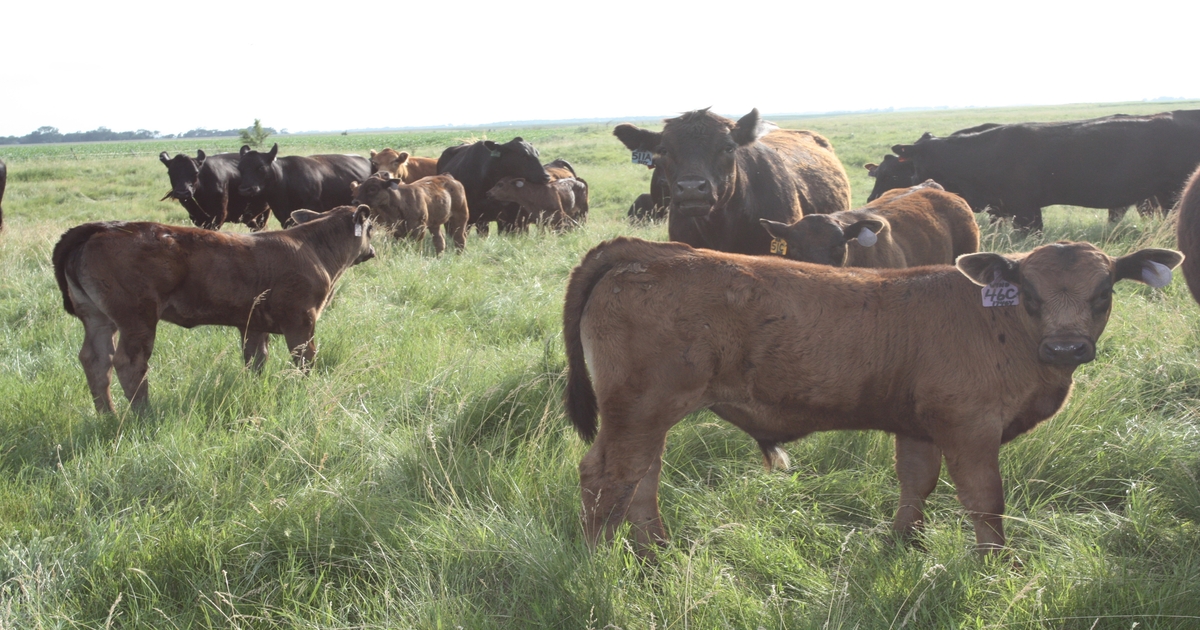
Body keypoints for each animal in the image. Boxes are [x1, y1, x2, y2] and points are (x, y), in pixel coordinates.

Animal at [52, 205, 376, 414]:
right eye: (370, 228)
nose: (372, 251)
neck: (311, 246)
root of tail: (105, 226)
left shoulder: (252, 324)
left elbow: (256, 361)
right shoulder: (301, 319)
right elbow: (304, 360)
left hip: (98, 318)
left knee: (95, 361)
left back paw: (108, 415)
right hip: (137, 319)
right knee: (128, 363)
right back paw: (143, 414)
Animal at [562, 236, 1181, 554]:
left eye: (1104, 292)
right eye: (1028, 291)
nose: (1066, 346)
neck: (998, 322)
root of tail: (650, 251)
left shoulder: (919, 429)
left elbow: (916, 486)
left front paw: (904, 544)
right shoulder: (971, 429)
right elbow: (985, 500)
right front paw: (995, 565)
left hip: (646, 417)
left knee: (638, 479)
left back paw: (656, 554)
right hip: (638, 411)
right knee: (609, 478)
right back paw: (599, 560)